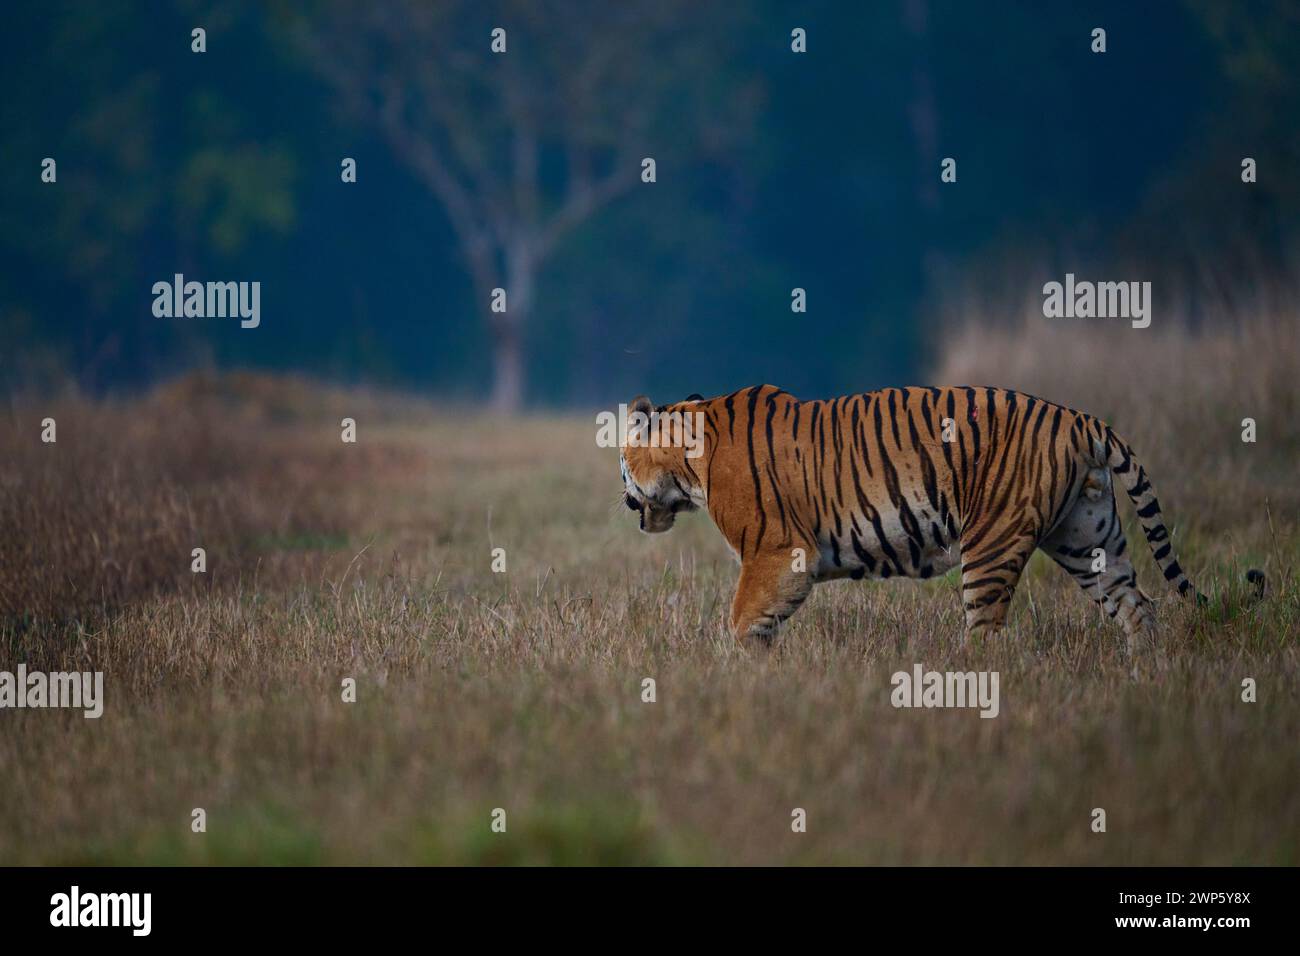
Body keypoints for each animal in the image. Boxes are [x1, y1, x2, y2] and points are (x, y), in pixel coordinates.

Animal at [618, 384, 1263, 645]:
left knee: (987, 632)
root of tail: (1080, 418)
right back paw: (1145, 679)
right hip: (1086, 539)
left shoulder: (777, 553)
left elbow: (744, 618)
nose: (622, 497)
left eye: (622, 461)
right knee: (1139, 607)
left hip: (992, 546)